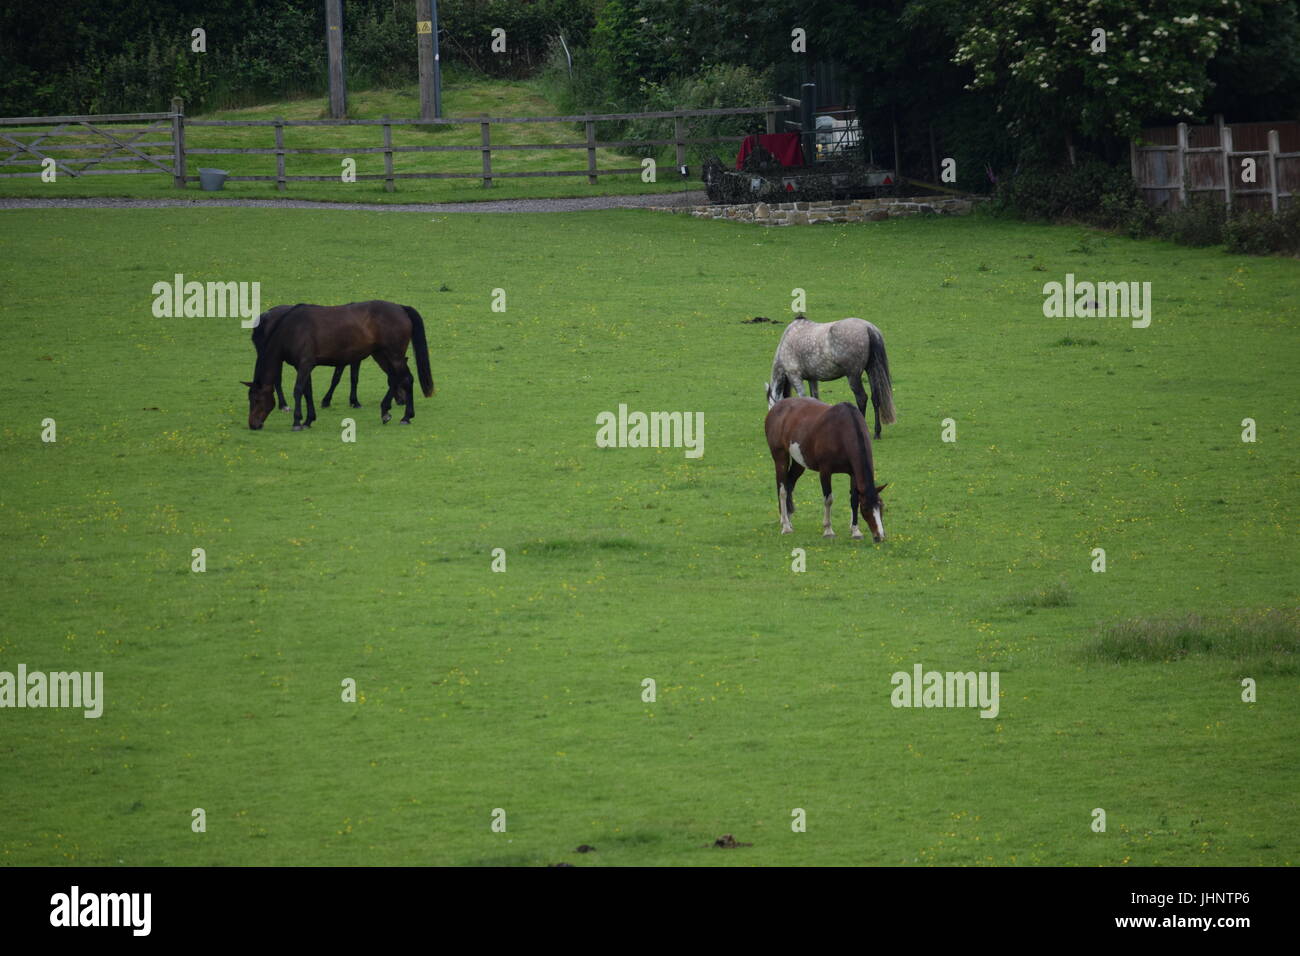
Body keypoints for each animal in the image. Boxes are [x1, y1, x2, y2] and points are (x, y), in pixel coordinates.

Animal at [243, 300, 434, 431]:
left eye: (256, 399)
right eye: (250, 399)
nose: (253, 424)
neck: (293, 328)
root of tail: (401, 308)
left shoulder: (305, 364)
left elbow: (298, 390)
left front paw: (297, 421)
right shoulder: (304, 366)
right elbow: (307, 391)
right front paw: (308, 419)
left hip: (393, 355)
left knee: (406, 379)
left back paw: (406, 416)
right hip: (381, 354)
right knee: (396, 378)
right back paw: (387, 411)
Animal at [764, 316, 897, 439]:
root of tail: (868, 328)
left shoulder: (795, 376)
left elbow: (803, 398)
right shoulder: (812, 379)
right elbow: (814, 399)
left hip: (853, 376)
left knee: (862, 398)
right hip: (871, 370)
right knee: (876, 398)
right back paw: (877, 433)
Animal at [764, 397, 888, 541]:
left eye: (881, 506)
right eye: (866, 508)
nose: (879, 536)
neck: (842, 431)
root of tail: (776, 407)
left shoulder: (853, 473)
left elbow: (854, 499)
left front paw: (855, 530)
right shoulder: (825, 472)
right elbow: (828, 500)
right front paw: (828, 530)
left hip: (799, 462)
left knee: (789, 485)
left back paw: (788, 520)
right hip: (780, 458)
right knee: (783, 490)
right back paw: (785, 525)